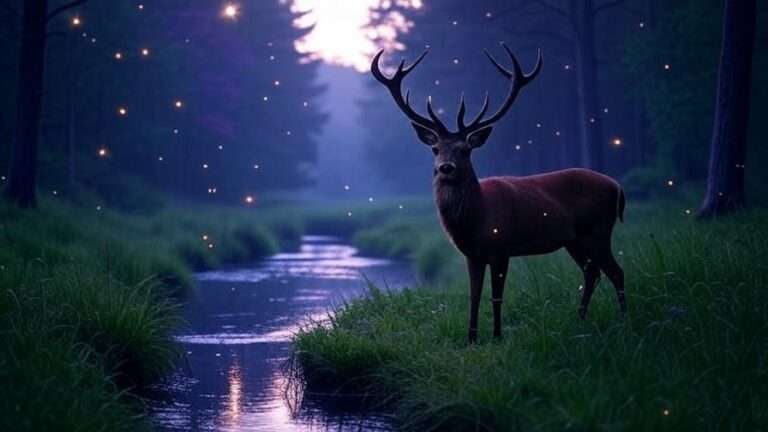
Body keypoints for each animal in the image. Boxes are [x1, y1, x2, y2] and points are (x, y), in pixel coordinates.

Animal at [371, 43, 627, 344]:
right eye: (435, 149)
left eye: (465, 149)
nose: (445, 168)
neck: (476, 220)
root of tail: (617, 186)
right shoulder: (472, 254)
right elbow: (473, 296)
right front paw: (471, 338)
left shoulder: (501, 248)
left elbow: (496, 297)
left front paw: (496, 336)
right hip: (574, 239)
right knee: (592, 272)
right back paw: (581, 319)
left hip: (597, 230)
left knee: (615, 271)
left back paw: (623, 319)